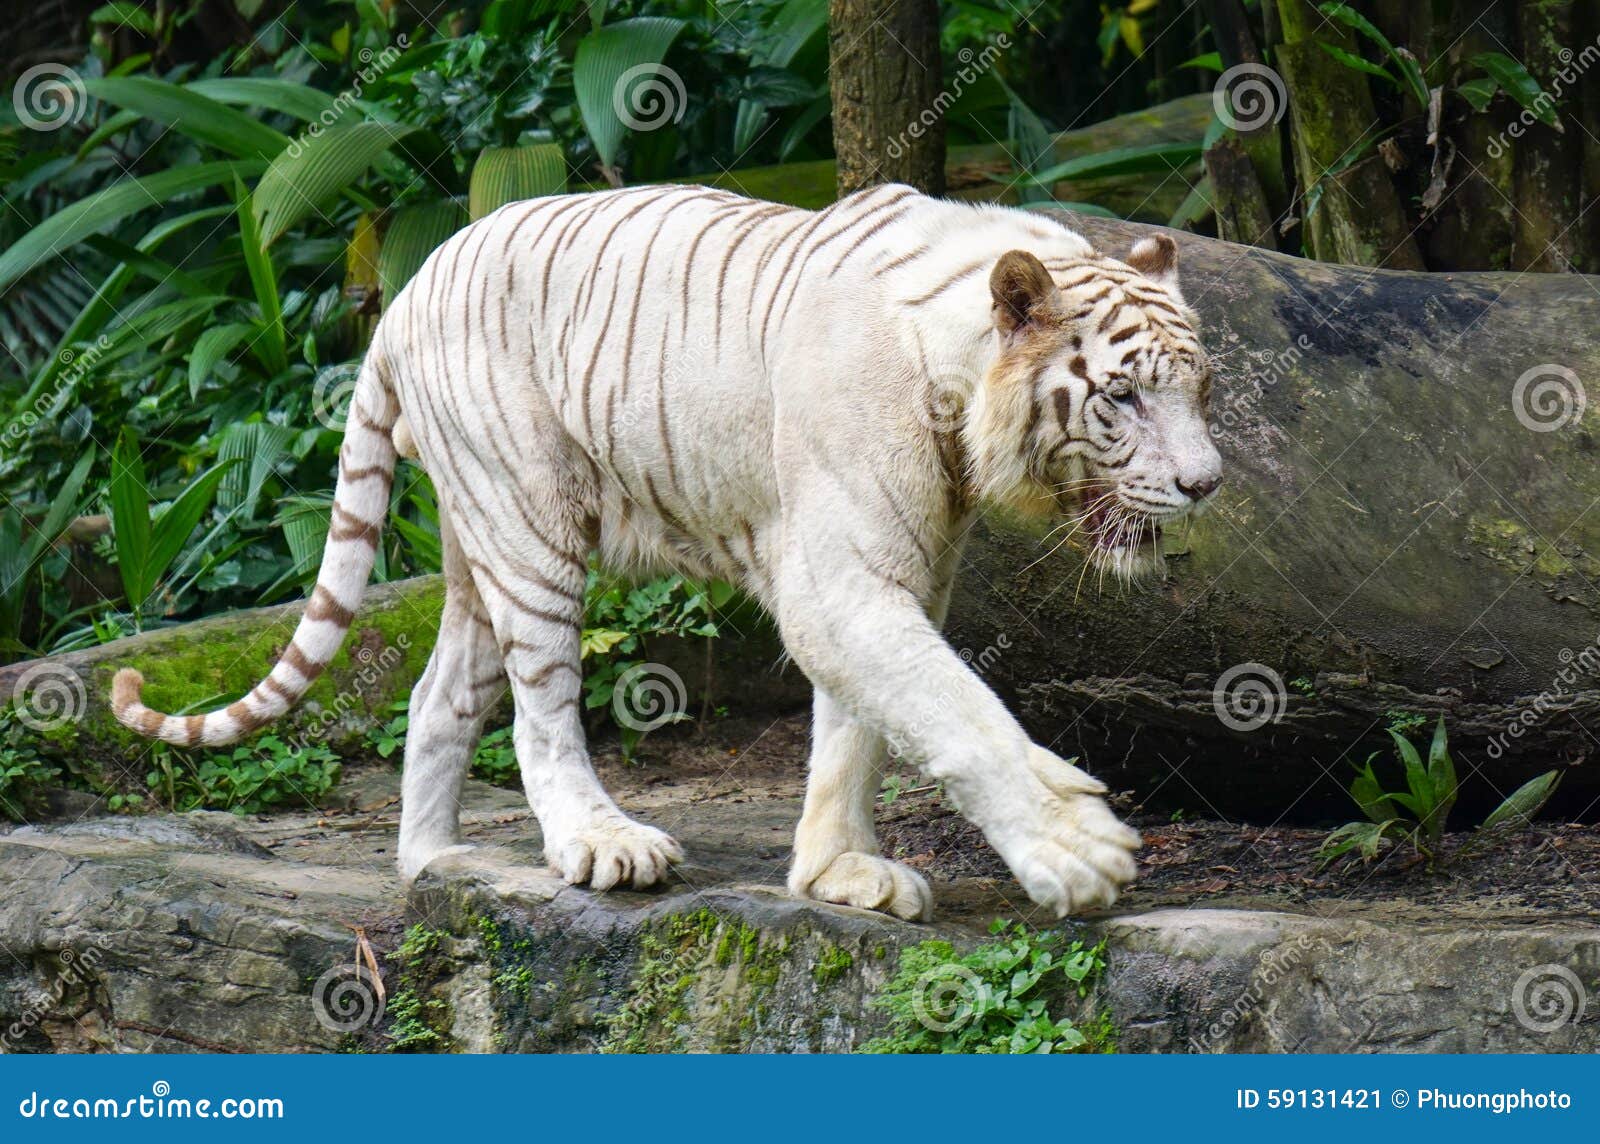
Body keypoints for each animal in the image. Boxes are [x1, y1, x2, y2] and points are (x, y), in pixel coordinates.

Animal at [112, 182, 1221, 921]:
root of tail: (401, 298)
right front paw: (1076, 847)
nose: (1208, 483)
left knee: (439, 696)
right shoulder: (843, 577)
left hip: (474, 542)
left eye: (1199, 388)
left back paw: (437, 866)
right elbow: (956, 708)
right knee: (541, 714)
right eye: (1123, 396)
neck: (955, 387)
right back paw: (599, 844)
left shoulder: (899, 570)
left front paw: (836, 874)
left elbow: (861, 726)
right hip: (529, 523)